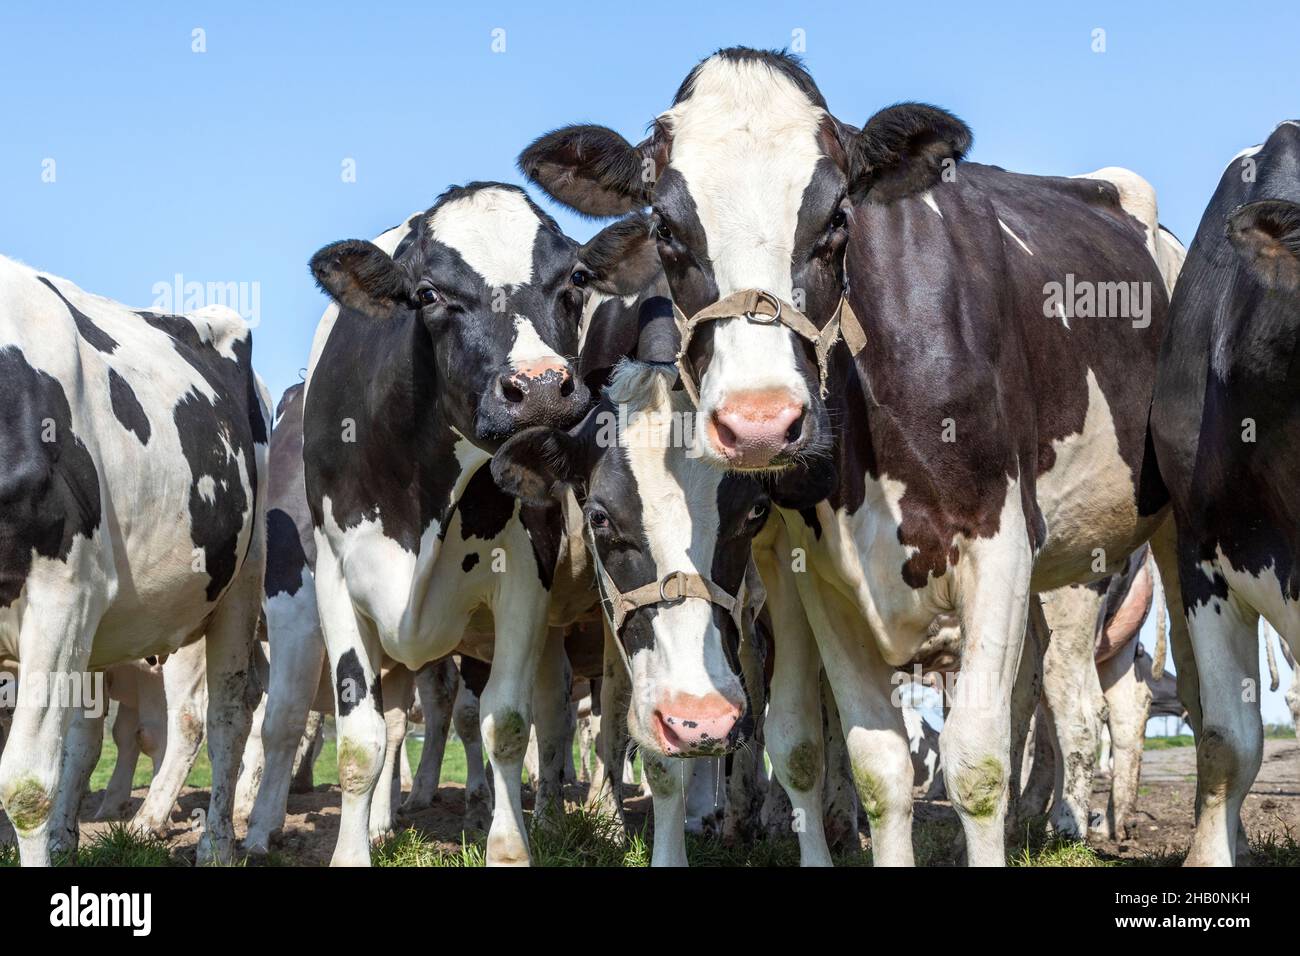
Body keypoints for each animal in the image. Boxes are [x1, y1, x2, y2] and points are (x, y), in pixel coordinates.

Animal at [0, 254, 268, 866]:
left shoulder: (60, 595)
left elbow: (24, 784)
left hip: (240, 583)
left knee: (225, 714)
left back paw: (215, 841)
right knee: (82, 737)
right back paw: (66, 837)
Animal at [519, 46, 1185, 865]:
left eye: (839, 219)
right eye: (665, 228)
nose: (761, 422)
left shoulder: (998, 545)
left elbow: (977, 761)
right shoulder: (816, 574)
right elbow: (866, 761)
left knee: (1103, 699)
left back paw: (1080, 822)